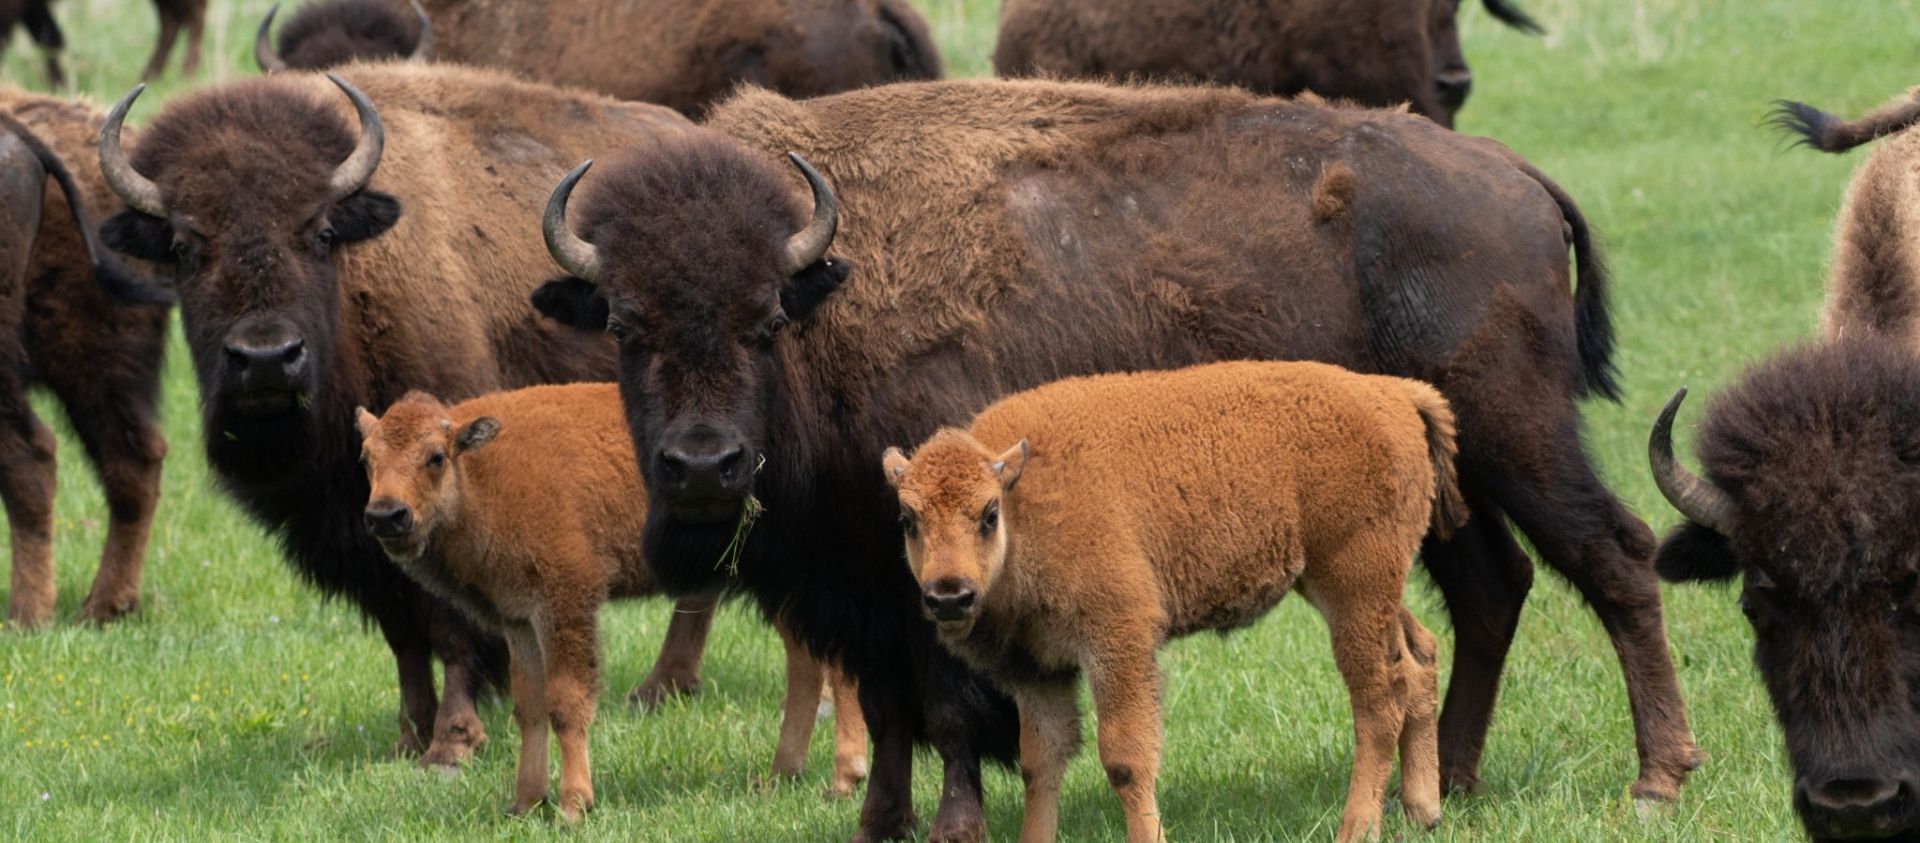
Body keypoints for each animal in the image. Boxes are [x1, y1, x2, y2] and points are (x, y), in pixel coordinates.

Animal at [95, 63, 711, 766]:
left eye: (320, 233)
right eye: (182, 245)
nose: (266, 359)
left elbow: (449, 624)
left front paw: (452, 744)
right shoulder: (355, 522)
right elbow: (403, 632)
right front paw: (408, 736)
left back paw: (658, 690)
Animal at [533, 79, 1699, 841]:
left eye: (766, 317)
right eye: (625, 323)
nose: (702, 465)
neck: (835, 286)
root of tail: (1510, 171)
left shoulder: (946, 562)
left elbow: (947, 706)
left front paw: (953, 823)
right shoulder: (868, 575)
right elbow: (894, 702)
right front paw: (878, 820)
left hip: (1521, 435)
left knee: (1614, 555)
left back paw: (1656, 778)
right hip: (1438, 482)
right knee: (1493, 586)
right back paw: (1451, 784)